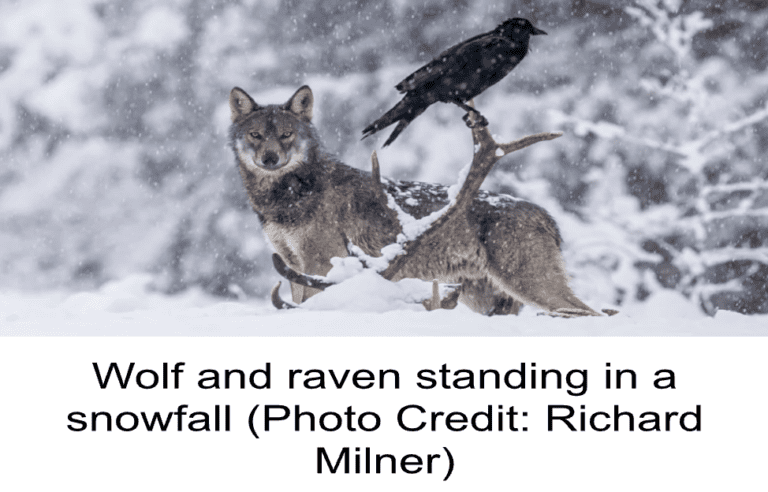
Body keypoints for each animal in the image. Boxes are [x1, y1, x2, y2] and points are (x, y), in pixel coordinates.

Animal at [228, 85, 597, 316]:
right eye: (255, 135)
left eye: (287, 134)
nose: (270, 158)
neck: (282, 207)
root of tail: (548, 219)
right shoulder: (289, 257)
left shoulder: (322, 258)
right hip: (482, 293)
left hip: (528, 280)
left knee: (588, 311)